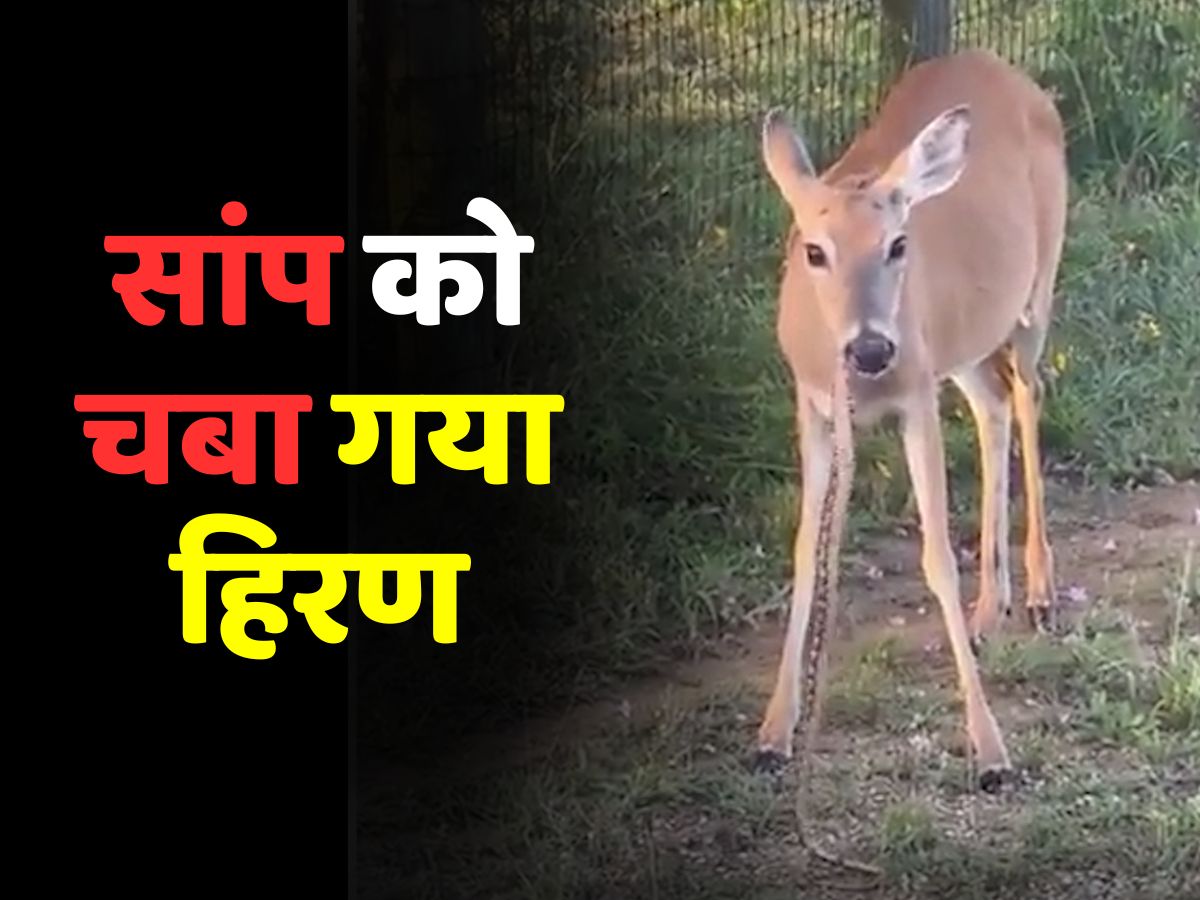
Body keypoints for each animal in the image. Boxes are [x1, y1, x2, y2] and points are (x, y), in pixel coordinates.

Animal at [753, 49, 1067, 791]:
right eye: (814, 249)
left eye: (898, 244)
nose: (871, 348)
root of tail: (1005, 68)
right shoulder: (814, 405)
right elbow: (808, 551)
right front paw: (775, 732)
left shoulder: (915, 398)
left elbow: (936, 559)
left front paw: (991, 750)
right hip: (964, 342)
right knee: (993, 402)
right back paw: (989, 610)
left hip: (1035, 289)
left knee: (1030, 392)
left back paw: (1040, 594)